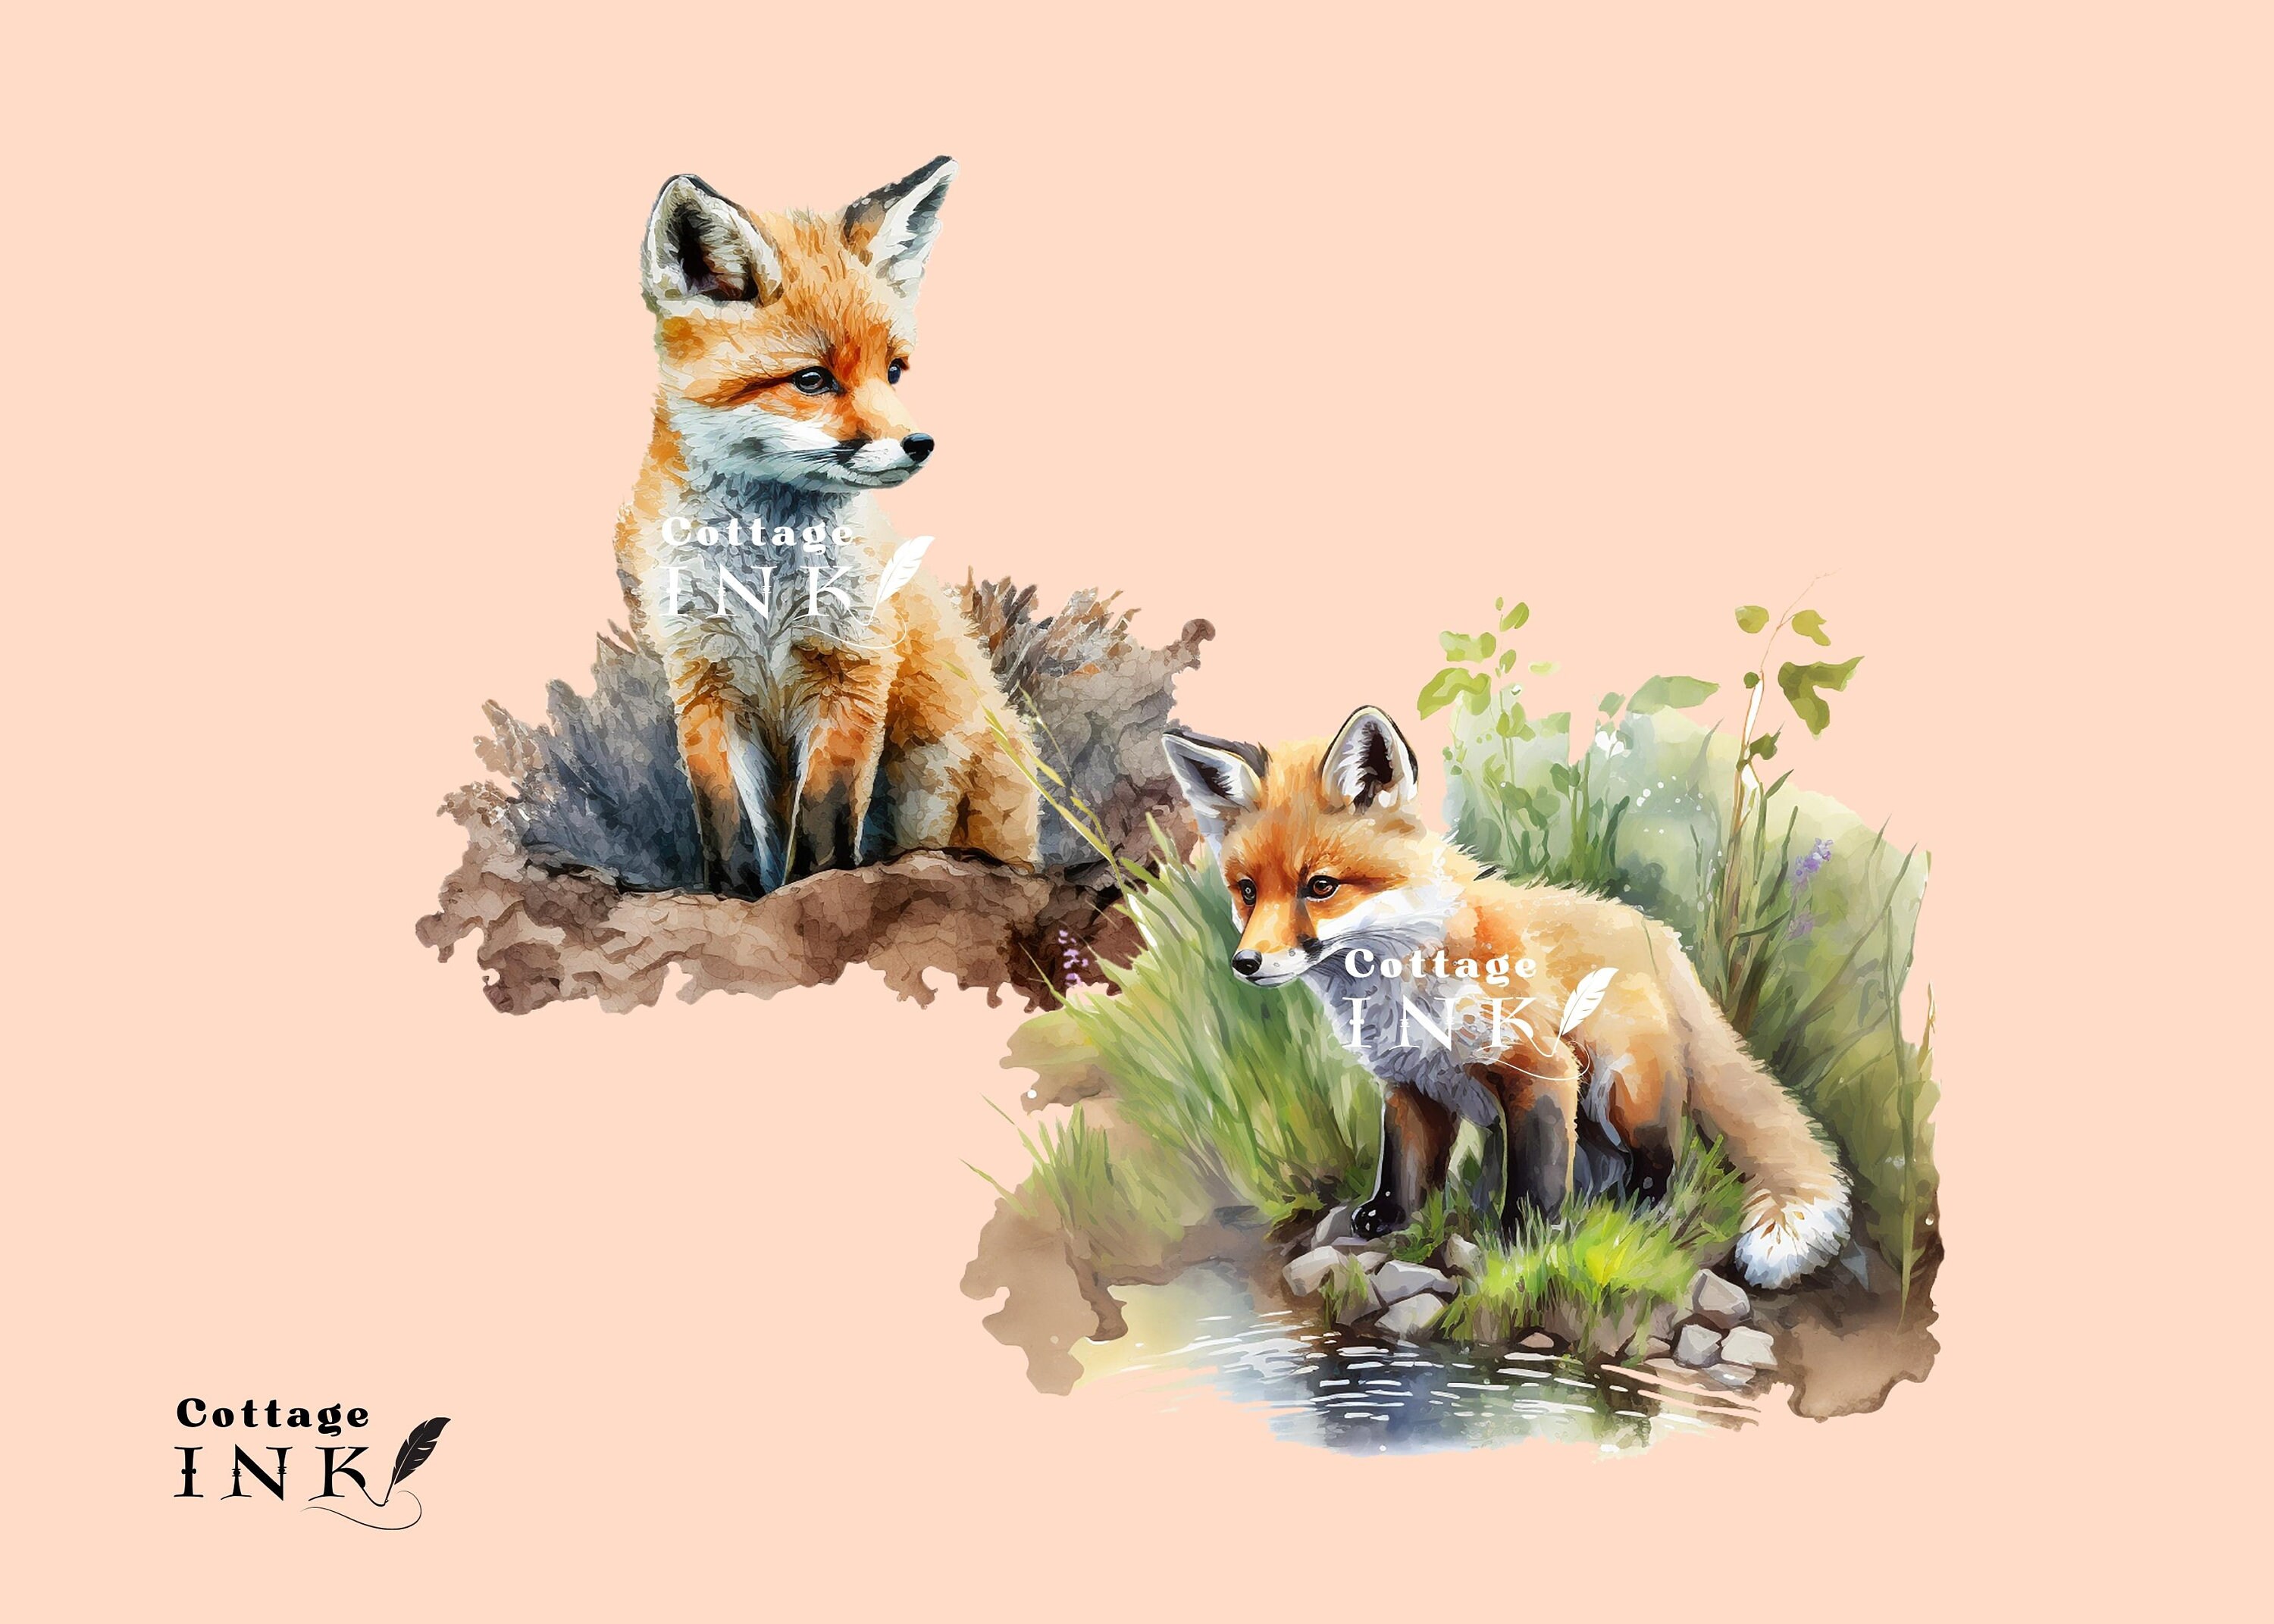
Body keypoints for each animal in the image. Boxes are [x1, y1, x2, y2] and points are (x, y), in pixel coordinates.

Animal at [613, 159, 1039, 896]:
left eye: (893, 370)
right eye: (812, 380)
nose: (920, 444)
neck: (764, 576)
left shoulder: (852, 668)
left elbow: (824, 823)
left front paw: (816, 892)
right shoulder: (704, 678)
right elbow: (728, 823)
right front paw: (734, 899)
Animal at [1162, 706, 1850, 1290]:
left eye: (1321, 886)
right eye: (1248, 890)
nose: (1246, 963)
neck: (1404, 983)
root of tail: (1662, 938)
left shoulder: (1540, 1068)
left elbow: (1537, 1179)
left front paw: (1522, 1239)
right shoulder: (1408, 1083)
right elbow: (1406, 1169)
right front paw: (1387, 1219)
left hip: (1620, 1088)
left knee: (1663, 1158)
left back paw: (1641, 1205)